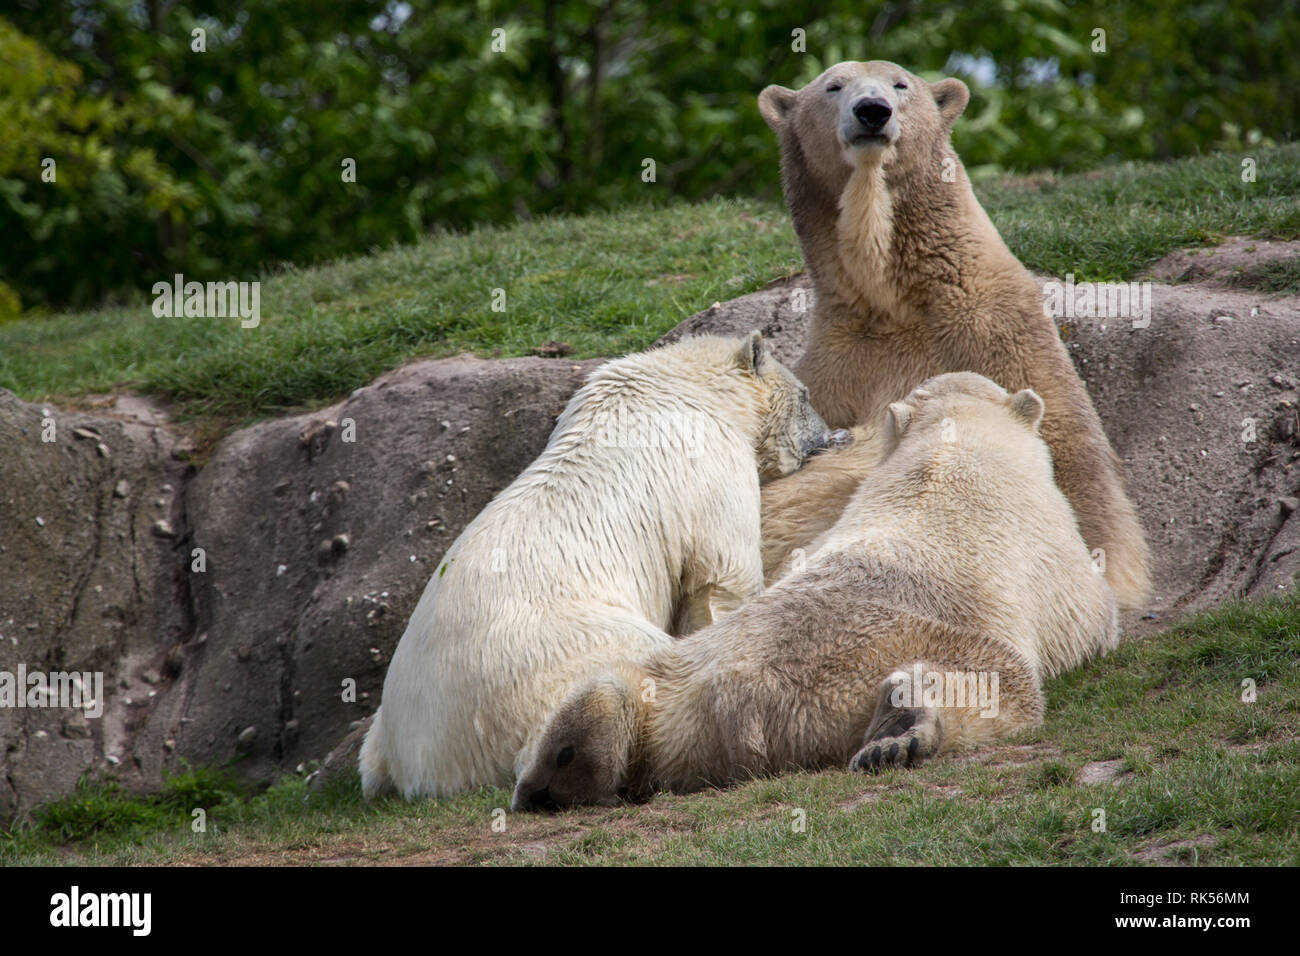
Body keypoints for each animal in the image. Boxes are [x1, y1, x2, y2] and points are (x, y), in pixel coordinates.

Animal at [359, 332, 832, 799]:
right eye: (806, 396)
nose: (828, 433)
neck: (688, 386)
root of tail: (419, 764)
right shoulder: (710, 468)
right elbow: (721, 574)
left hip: (383, 735)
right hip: (552, 654)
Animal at [511, 372, 1119, 809]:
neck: (952, 447)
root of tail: (748, 701)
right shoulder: (1054, 546)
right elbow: (1095, 614)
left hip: (671, 683)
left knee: (609, 692)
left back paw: (560, 772)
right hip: (946, 645)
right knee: (1001, 688)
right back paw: (901, 734)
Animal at [753, 60, 1151, 612]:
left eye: (901, 85)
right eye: (833, 86)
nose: (872, 110)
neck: (896, 299)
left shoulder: (997, 336)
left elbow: (1072, 475)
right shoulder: (840, 360)